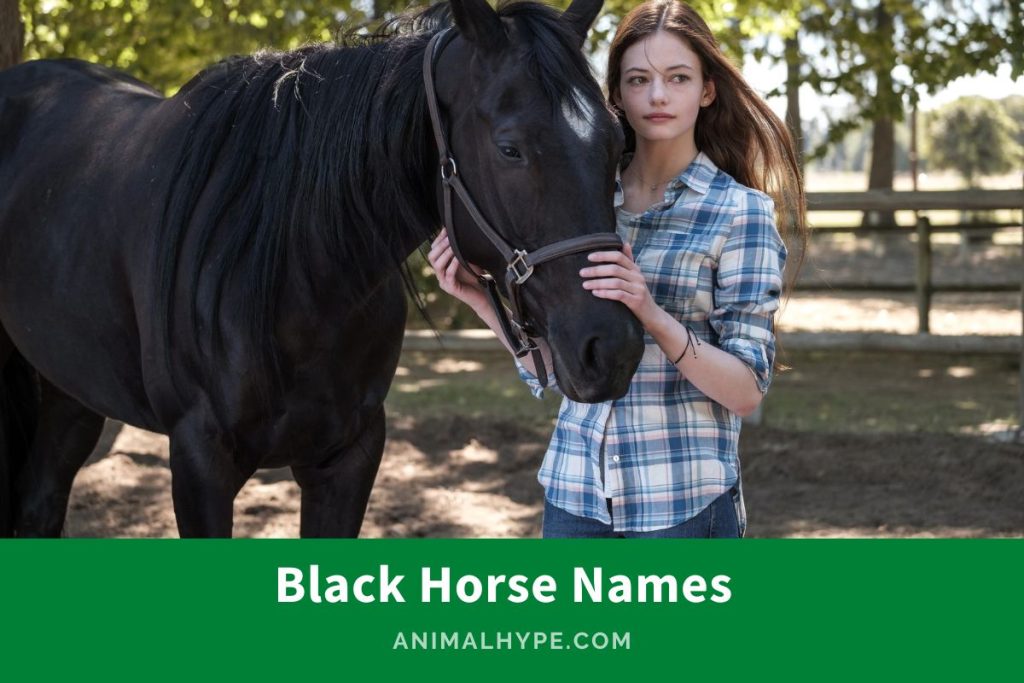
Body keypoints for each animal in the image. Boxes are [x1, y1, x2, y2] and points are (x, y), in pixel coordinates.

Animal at [0, 0, 644, 537]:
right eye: (510, 148)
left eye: (619, 144)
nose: (612, 349)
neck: (293, 276)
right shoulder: (199, 461)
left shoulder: (348, 458)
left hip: (72, 390)